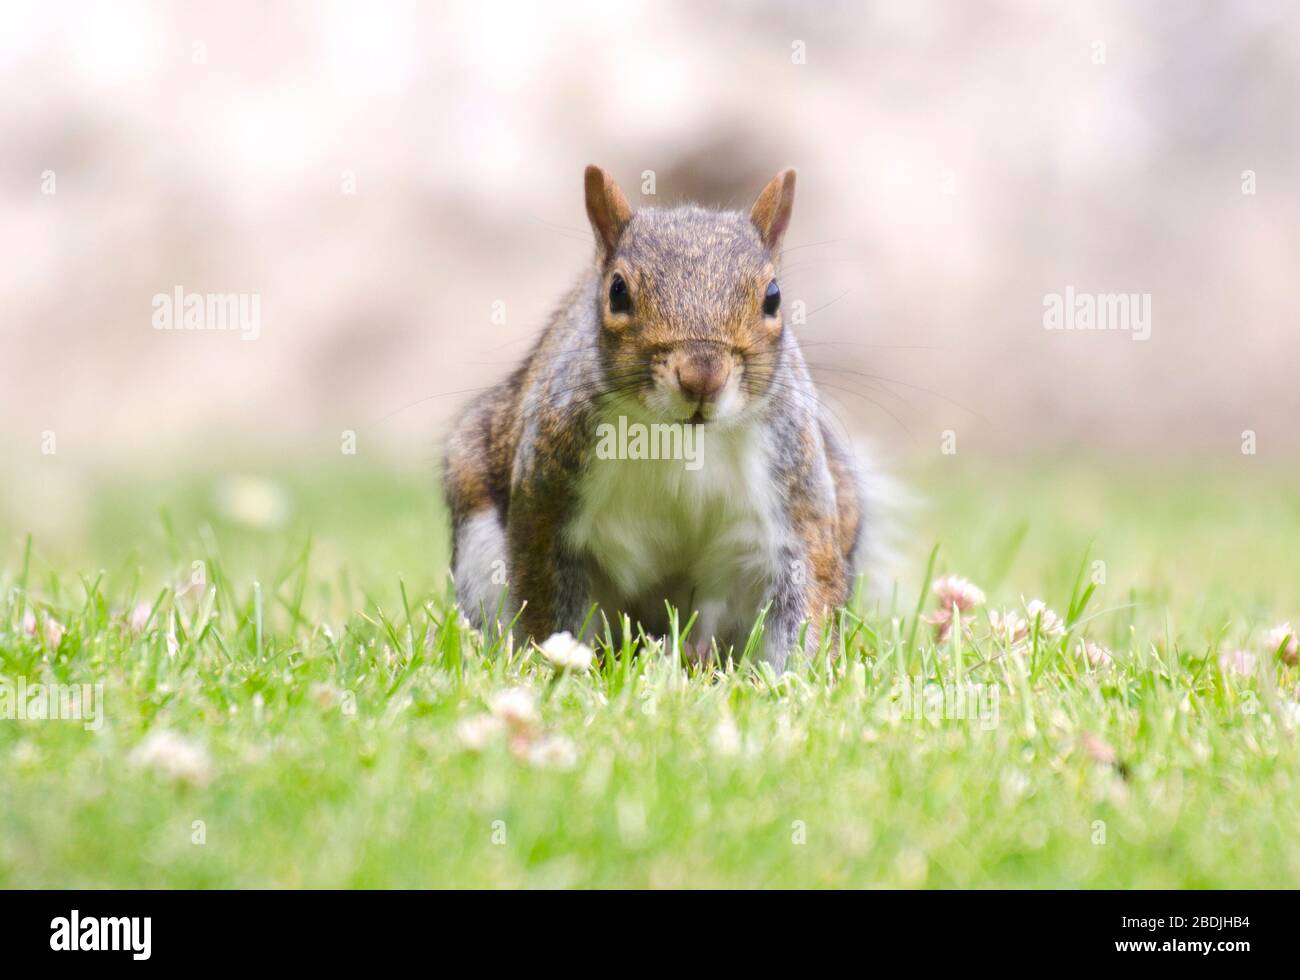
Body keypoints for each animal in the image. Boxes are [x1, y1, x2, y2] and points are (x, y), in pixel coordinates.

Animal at [443, 165, 868, 670]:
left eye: (773, 296)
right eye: (617, 291)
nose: (702, 376)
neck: (678, 439)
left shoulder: (796, 495)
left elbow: (806, 600)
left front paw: (800, 677)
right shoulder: (548, 495)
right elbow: (544, 599)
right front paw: (548, 661)